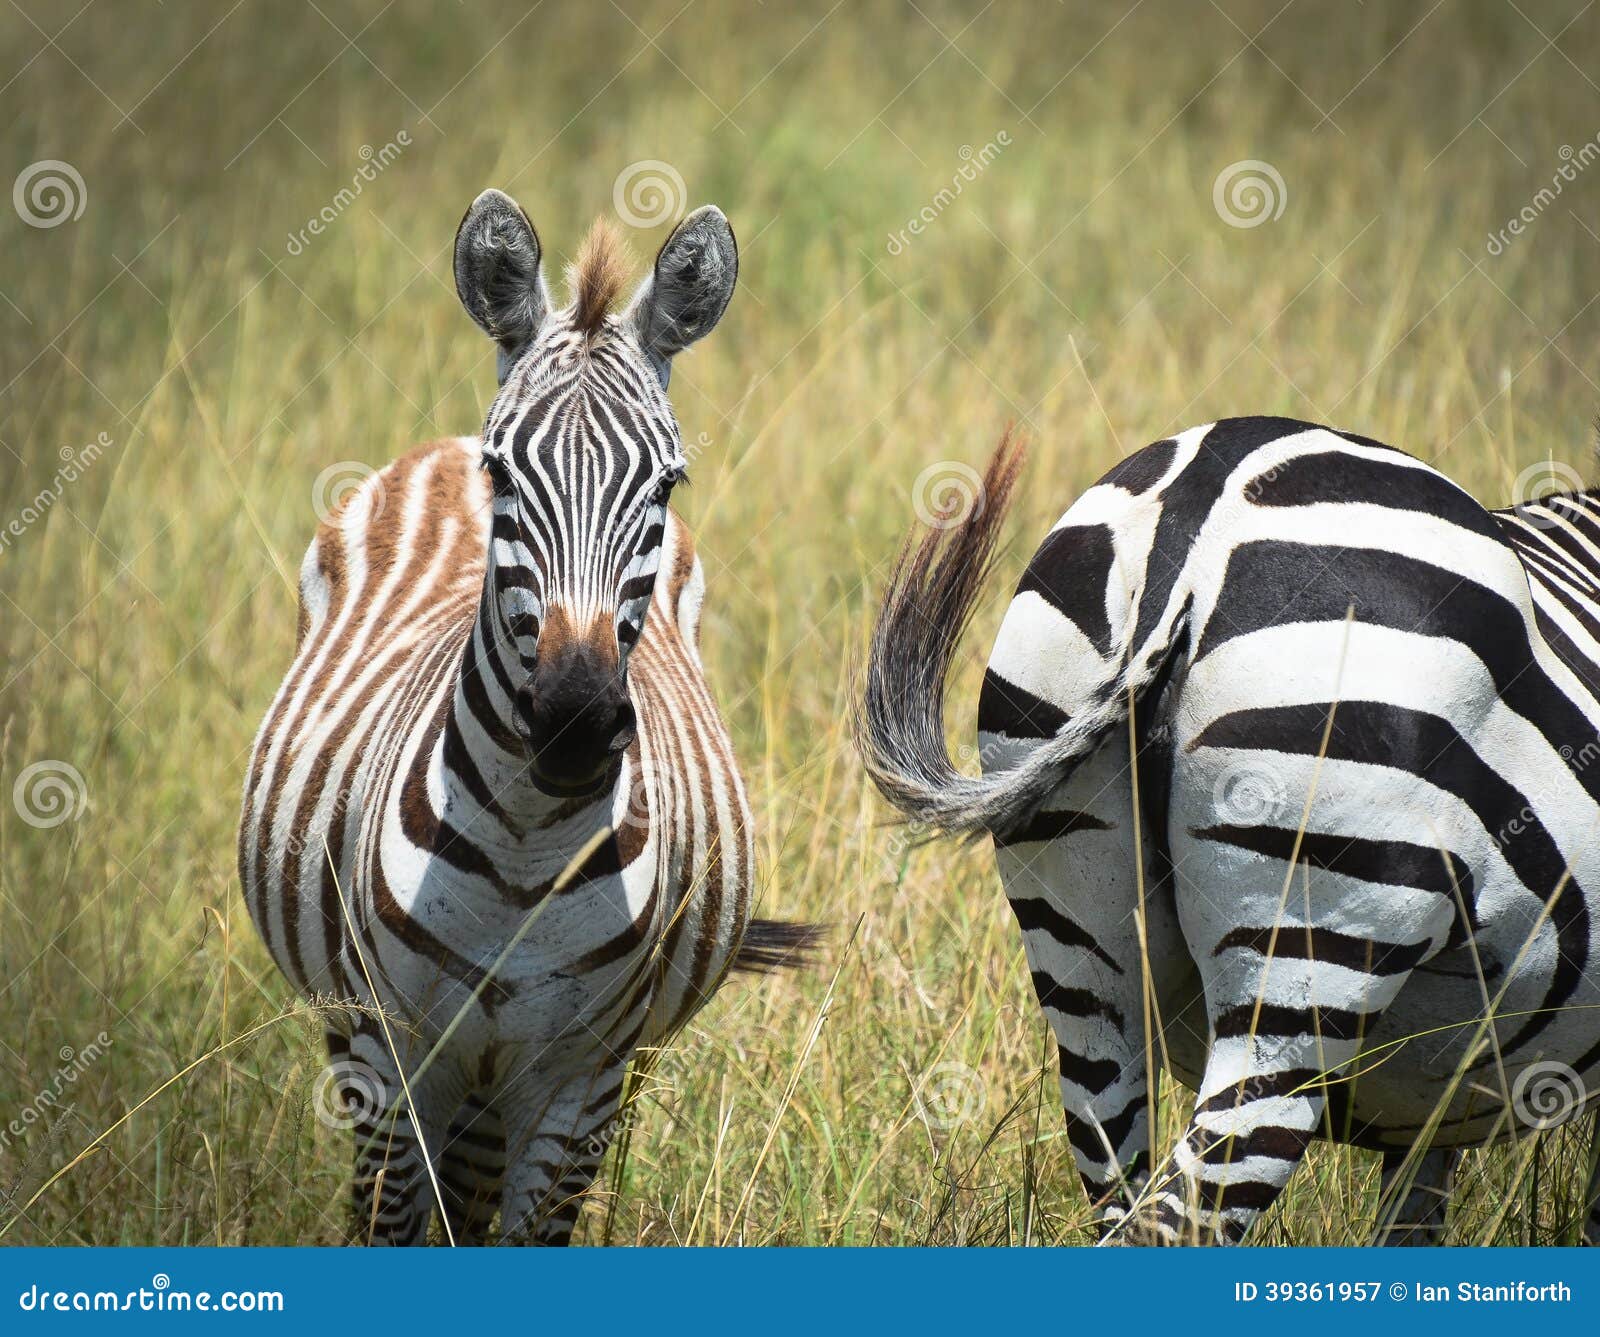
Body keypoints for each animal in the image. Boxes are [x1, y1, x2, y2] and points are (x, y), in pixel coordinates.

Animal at [240, 189, 808, 1244]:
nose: (576, 722)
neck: (525, 843)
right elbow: (390, 1224)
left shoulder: (581, 1076)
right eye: (503, 475)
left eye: (667, 483)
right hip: (360, 1025)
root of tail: (436, 442)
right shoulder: (398, 1055)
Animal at [859, 415, 1600, 1245]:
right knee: (1183, 1211)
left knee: (1116, 1174)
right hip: (1308, 944)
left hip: (1081, 947)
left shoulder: (1431, 1116)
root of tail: (1191, 520)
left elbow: (1410, 1220)